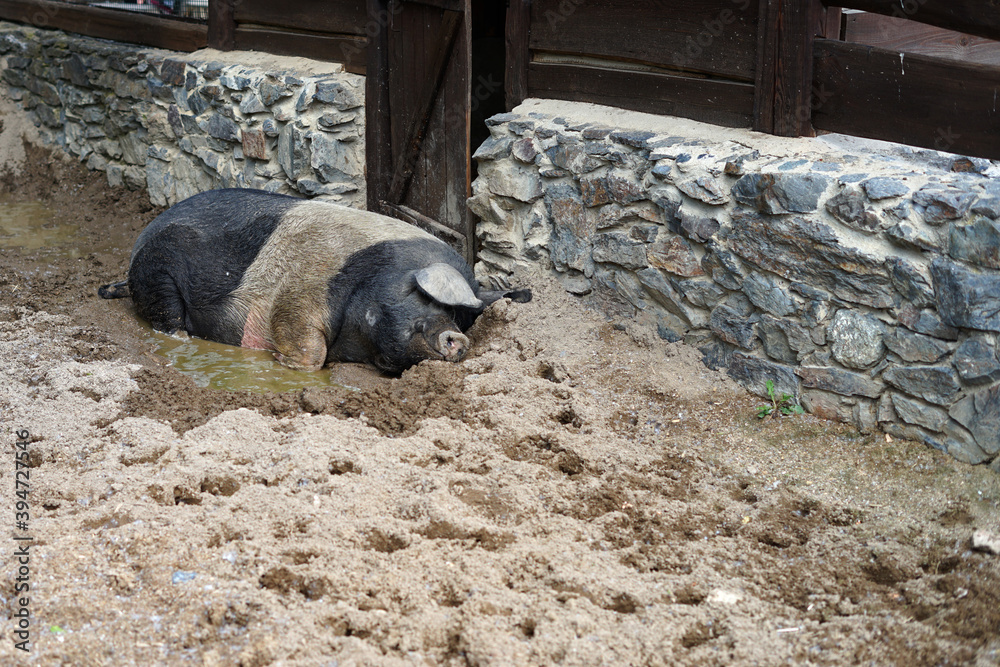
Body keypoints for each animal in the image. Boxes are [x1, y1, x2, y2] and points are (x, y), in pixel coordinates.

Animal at [98, 189, 530, 374]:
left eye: (465, 320)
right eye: (431, 300)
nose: (458, 339)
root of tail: (139, 243)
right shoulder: (300, 296)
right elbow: (308, 349)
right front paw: (280, 360)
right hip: (158, 274)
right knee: (168, 318)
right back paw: (183, 338)